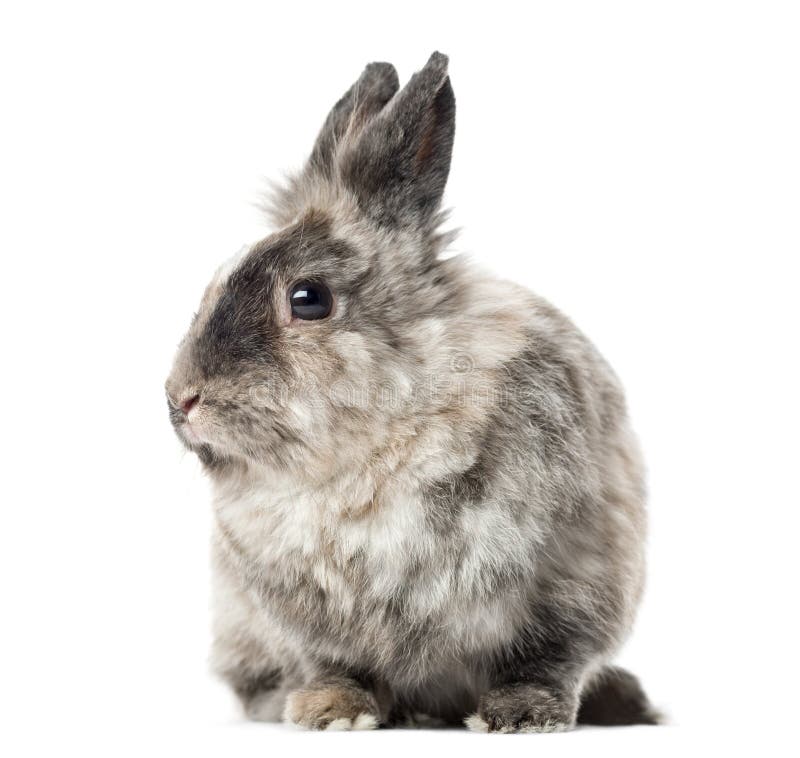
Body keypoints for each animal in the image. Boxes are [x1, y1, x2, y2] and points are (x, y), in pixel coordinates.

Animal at [166, 51, 658, 732]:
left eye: (308, 298)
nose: (181, 399)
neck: (366, 463)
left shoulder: (576, 582)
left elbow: (545, 661)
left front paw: (521, 718)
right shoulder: (300, 620)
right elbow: (332, 665)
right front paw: (330, 712)